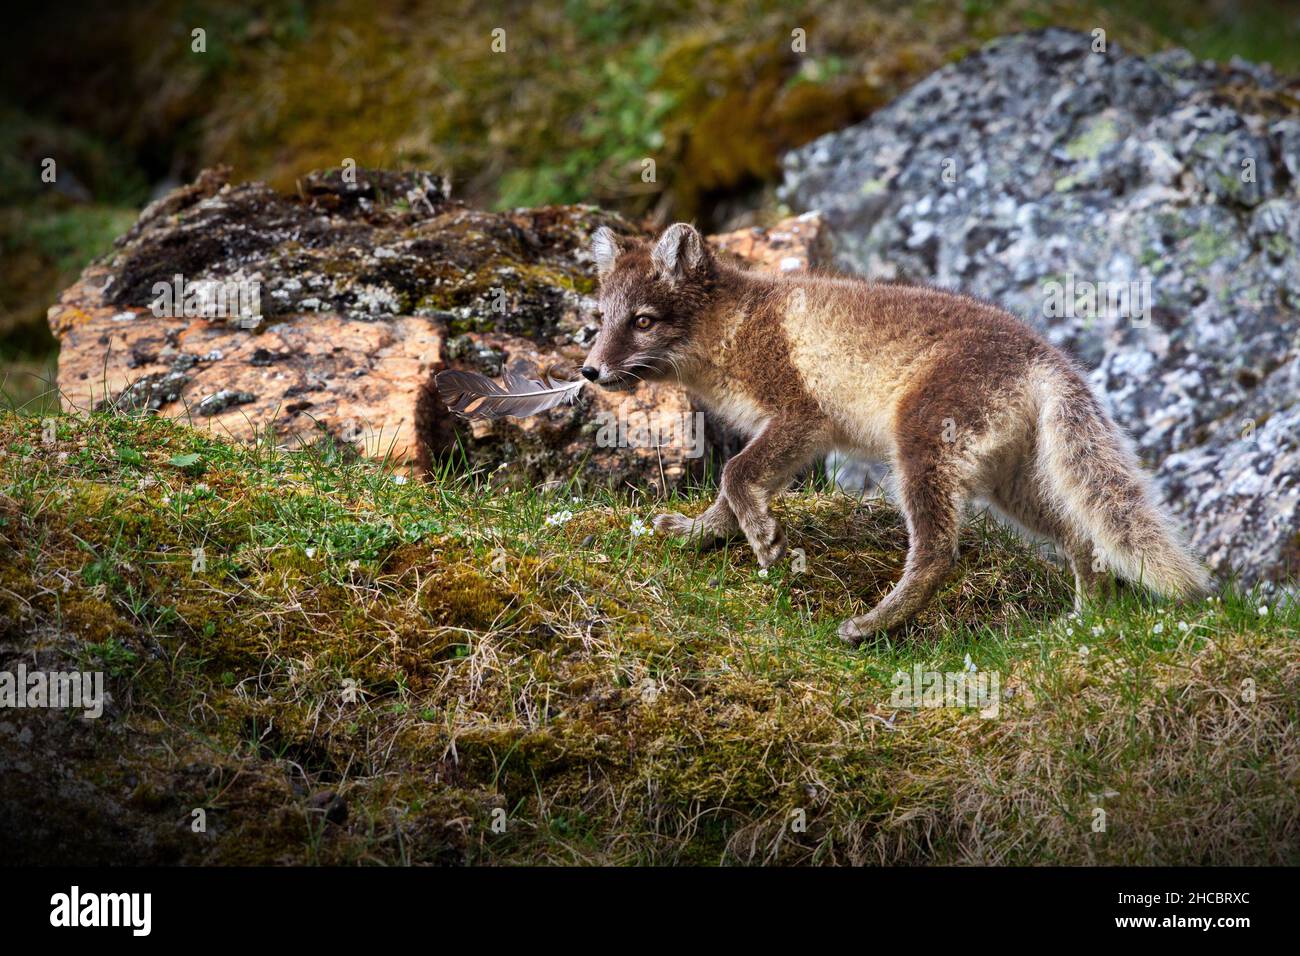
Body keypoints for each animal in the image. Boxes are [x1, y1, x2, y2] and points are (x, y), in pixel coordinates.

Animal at [579, 222, 1212, 643]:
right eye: (598, 322)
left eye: (643, 321)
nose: (588, 372)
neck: (732, 328)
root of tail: (1047, 357)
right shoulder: (788, 438)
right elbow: (729, 497)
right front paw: (697, 533)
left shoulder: (801, 419)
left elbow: (734, 476)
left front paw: (763, 539)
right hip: (1013, 485)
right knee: (1083, 536)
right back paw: (1085, 624)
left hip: (922, 452)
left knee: (937, 552)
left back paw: (870, 626)